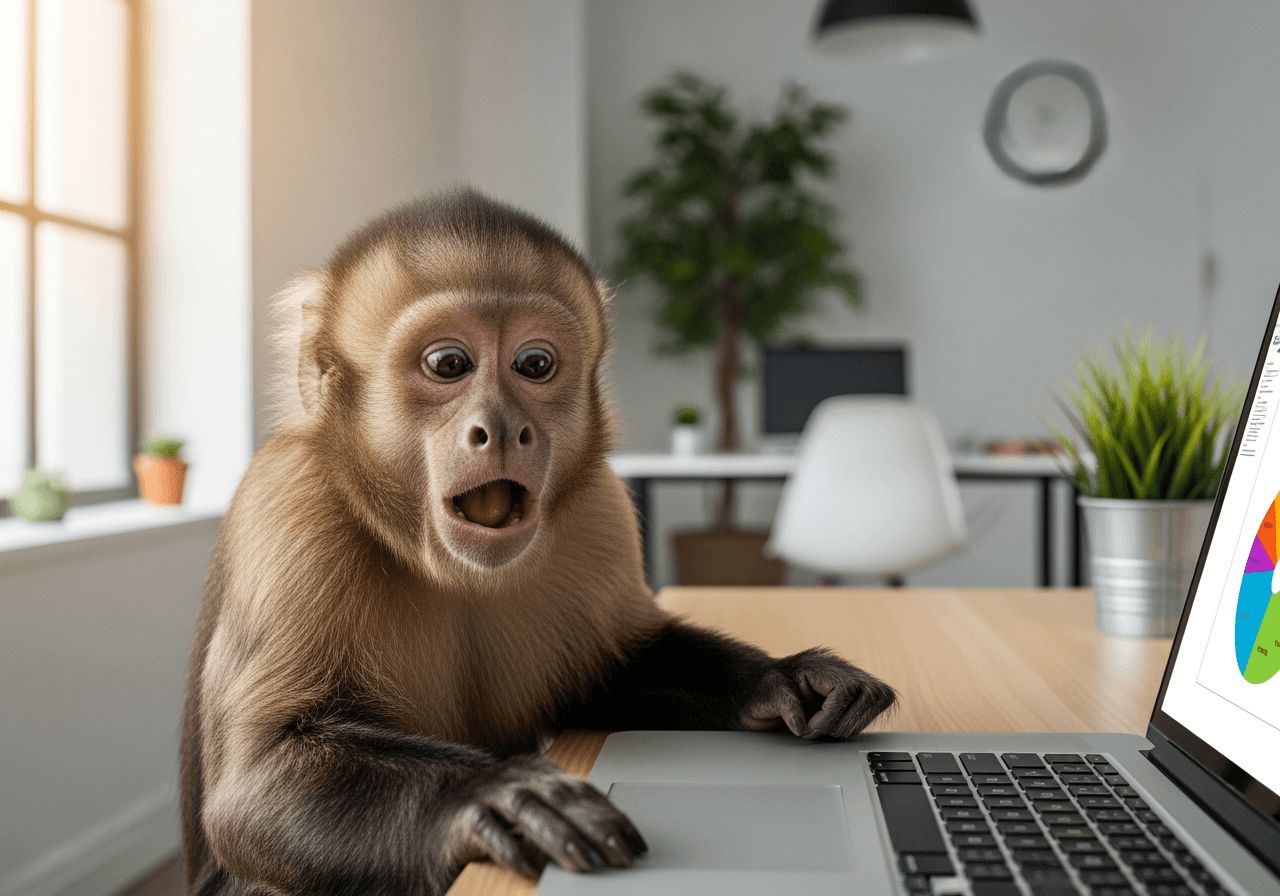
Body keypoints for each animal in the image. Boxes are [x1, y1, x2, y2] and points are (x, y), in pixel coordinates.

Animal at [179, 188, 896, 896]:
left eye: (535, 365)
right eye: (448, 364)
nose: (501, 427)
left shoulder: (601, 515)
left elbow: (607, 679)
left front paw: (777, 678)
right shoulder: (291, 511)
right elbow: (254, 791)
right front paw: (486, 793)